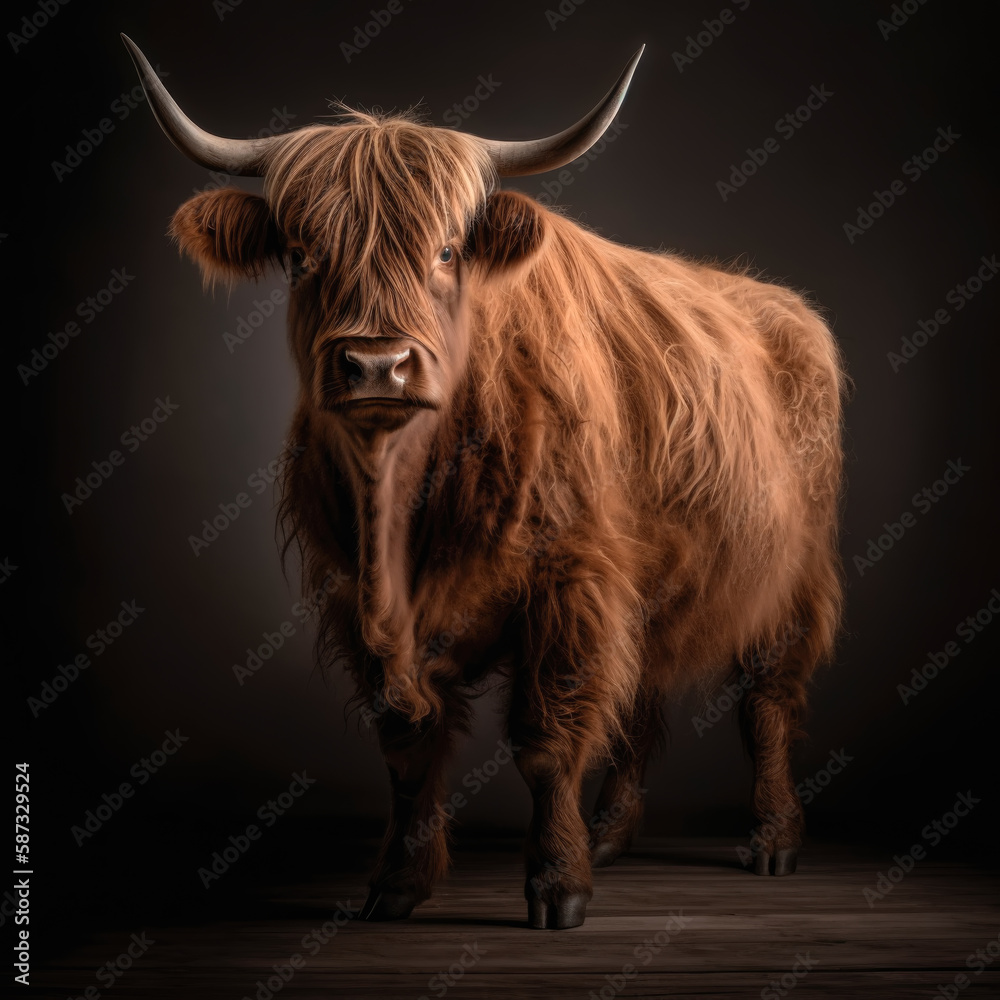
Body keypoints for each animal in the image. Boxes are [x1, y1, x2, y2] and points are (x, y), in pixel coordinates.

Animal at [123, 35, 846, 929]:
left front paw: (558, 886)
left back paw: (772, 840)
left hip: (792, 573)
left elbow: (545, 739)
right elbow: (406, 743)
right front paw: (397, 884)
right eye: (301, 255)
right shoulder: (356, 593)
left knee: (766, 698)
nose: (378, 364)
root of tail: (783, 303)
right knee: (640, 696)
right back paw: (613, 834)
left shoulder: (571, 582)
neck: (405, 503)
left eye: (444, 250)